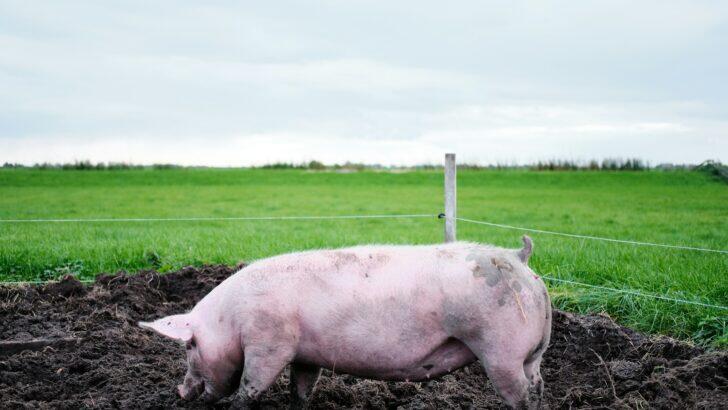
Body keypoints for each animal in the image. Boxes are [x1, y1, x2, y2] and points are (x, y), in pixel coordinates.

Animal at [139, 236, 551, 409]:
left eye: (190, 345)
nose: (180, 392)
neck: (231, 319)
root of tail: (519, 258)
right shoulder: (305, 354)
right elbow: (301, 388)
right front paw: (298, 404)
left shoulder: (269, 342)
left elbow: (250, 386)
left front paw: (237, 404)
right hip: (532, 355)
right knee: (538, 387)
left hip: (501, 351)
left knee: (521, 395)